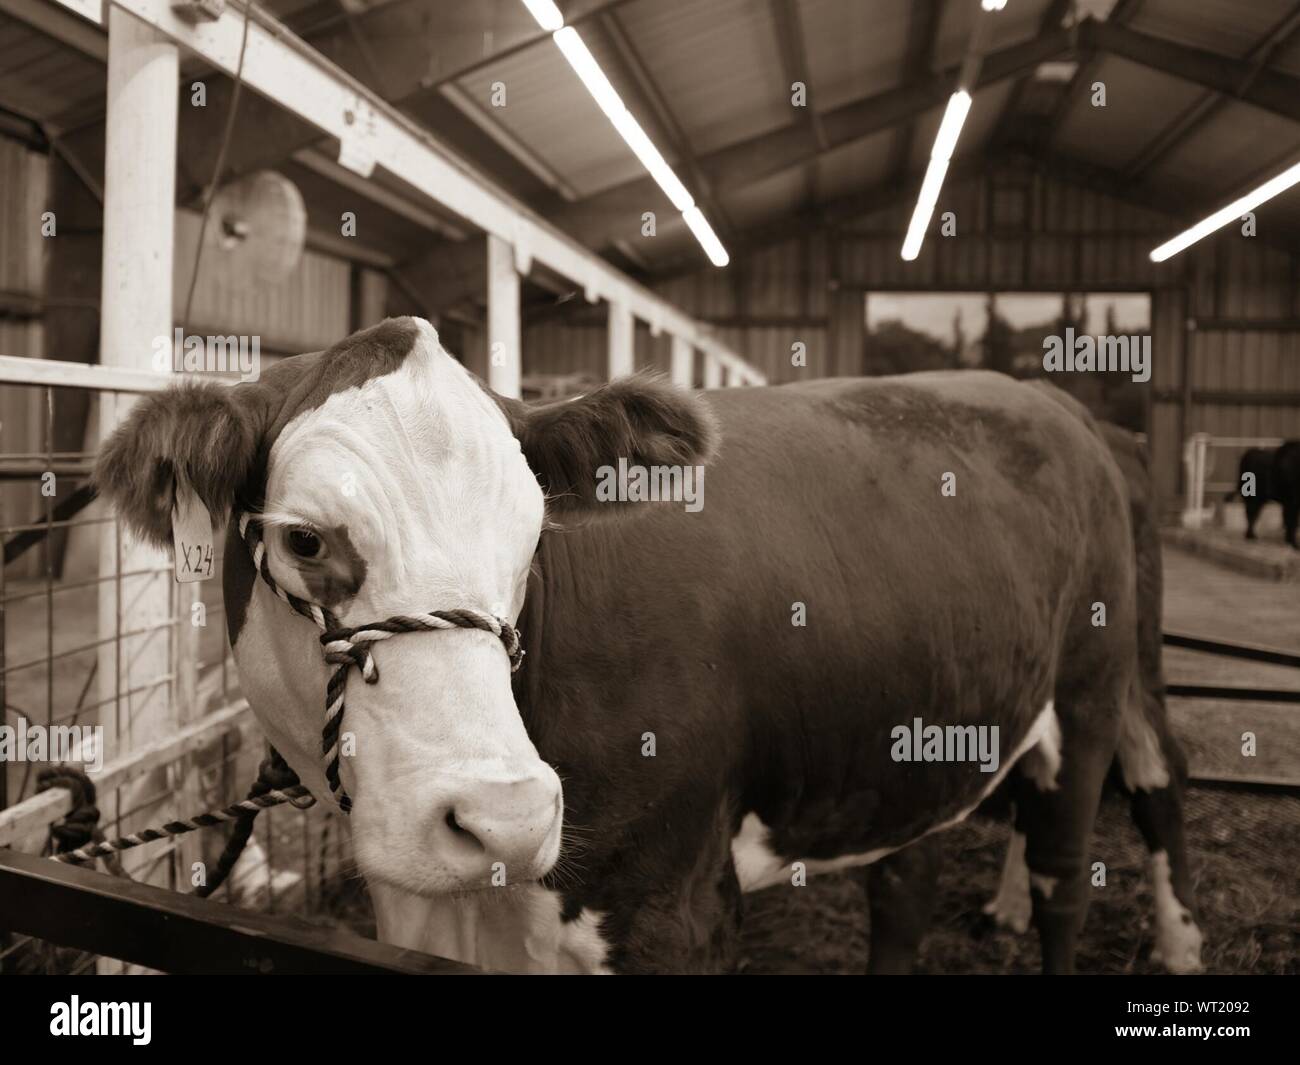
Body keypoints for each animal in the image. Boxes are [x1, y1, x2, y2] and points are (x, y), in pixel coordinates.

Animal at [95, 316, 1163, 974]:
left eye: (533, 531)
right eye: (305, 539)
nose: (505, 820)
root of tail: (1052, 401)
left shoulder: (675, 908)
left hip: (1095, 695)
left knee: (1074, 871)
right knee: (905, 883)